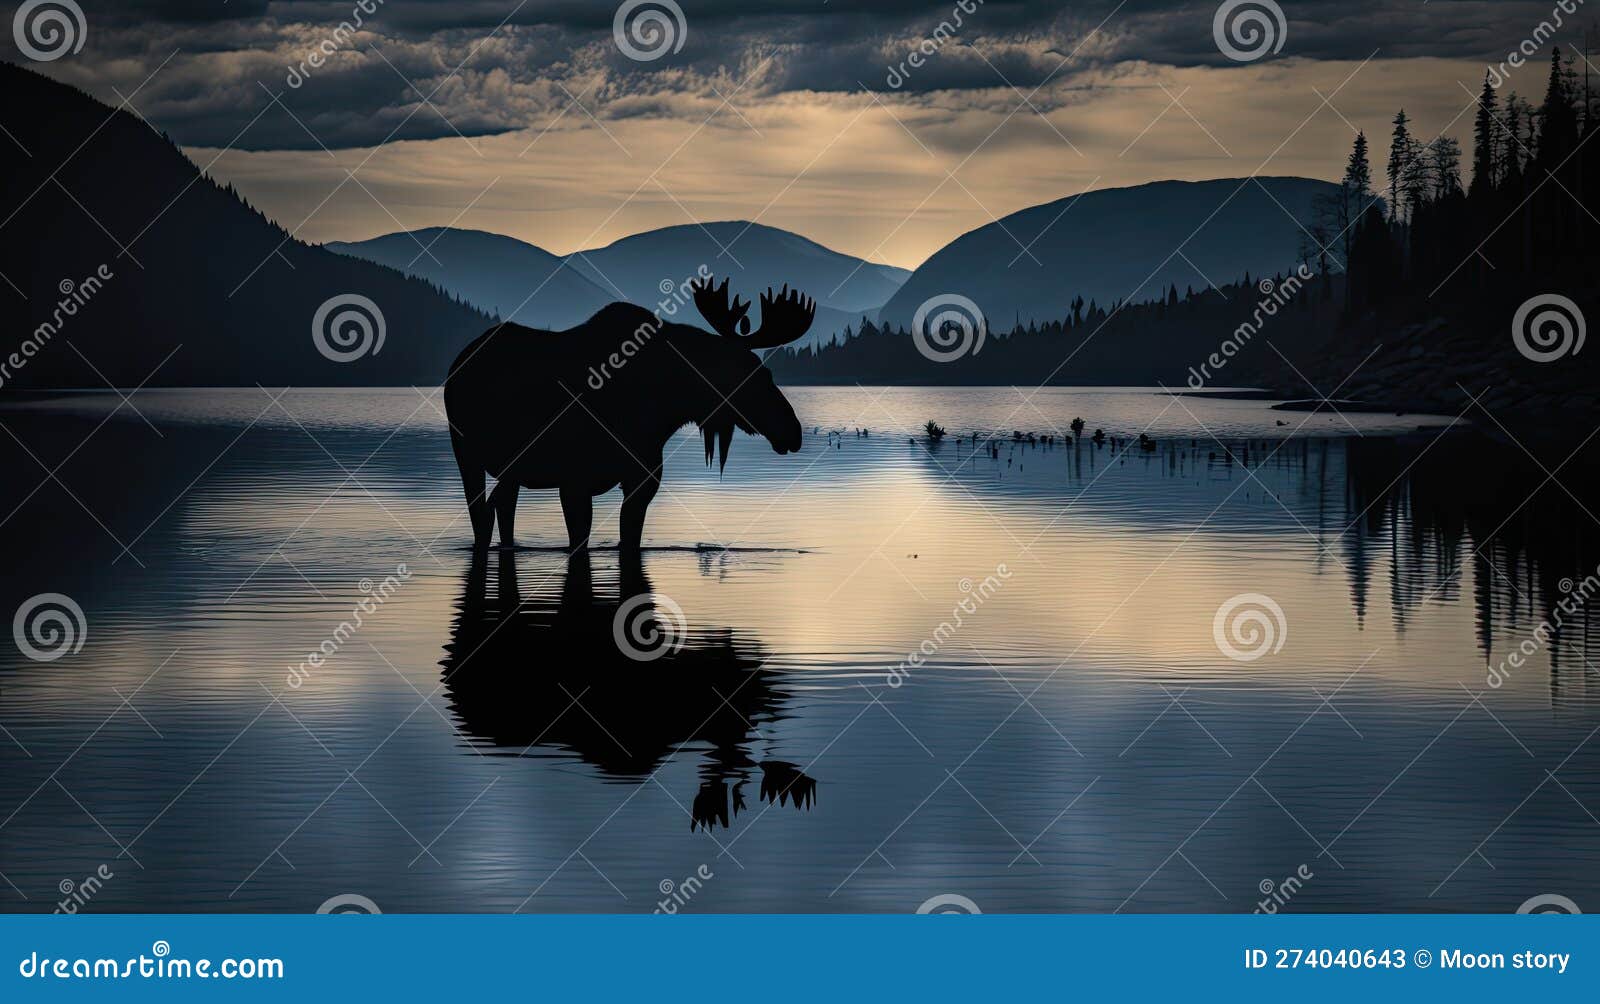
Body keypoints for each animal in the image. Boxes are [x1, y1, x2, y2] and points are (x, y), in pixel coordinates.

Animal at [443, 276, 814, 552]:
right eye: (758, 374)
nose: (793, 430)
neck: (661, 410)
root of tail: (455, 366)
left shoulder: (643, 481)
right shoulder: (574, 481)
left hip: (512, 469)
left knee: (501, 508)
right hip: (467, 455)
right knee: (482, 517)